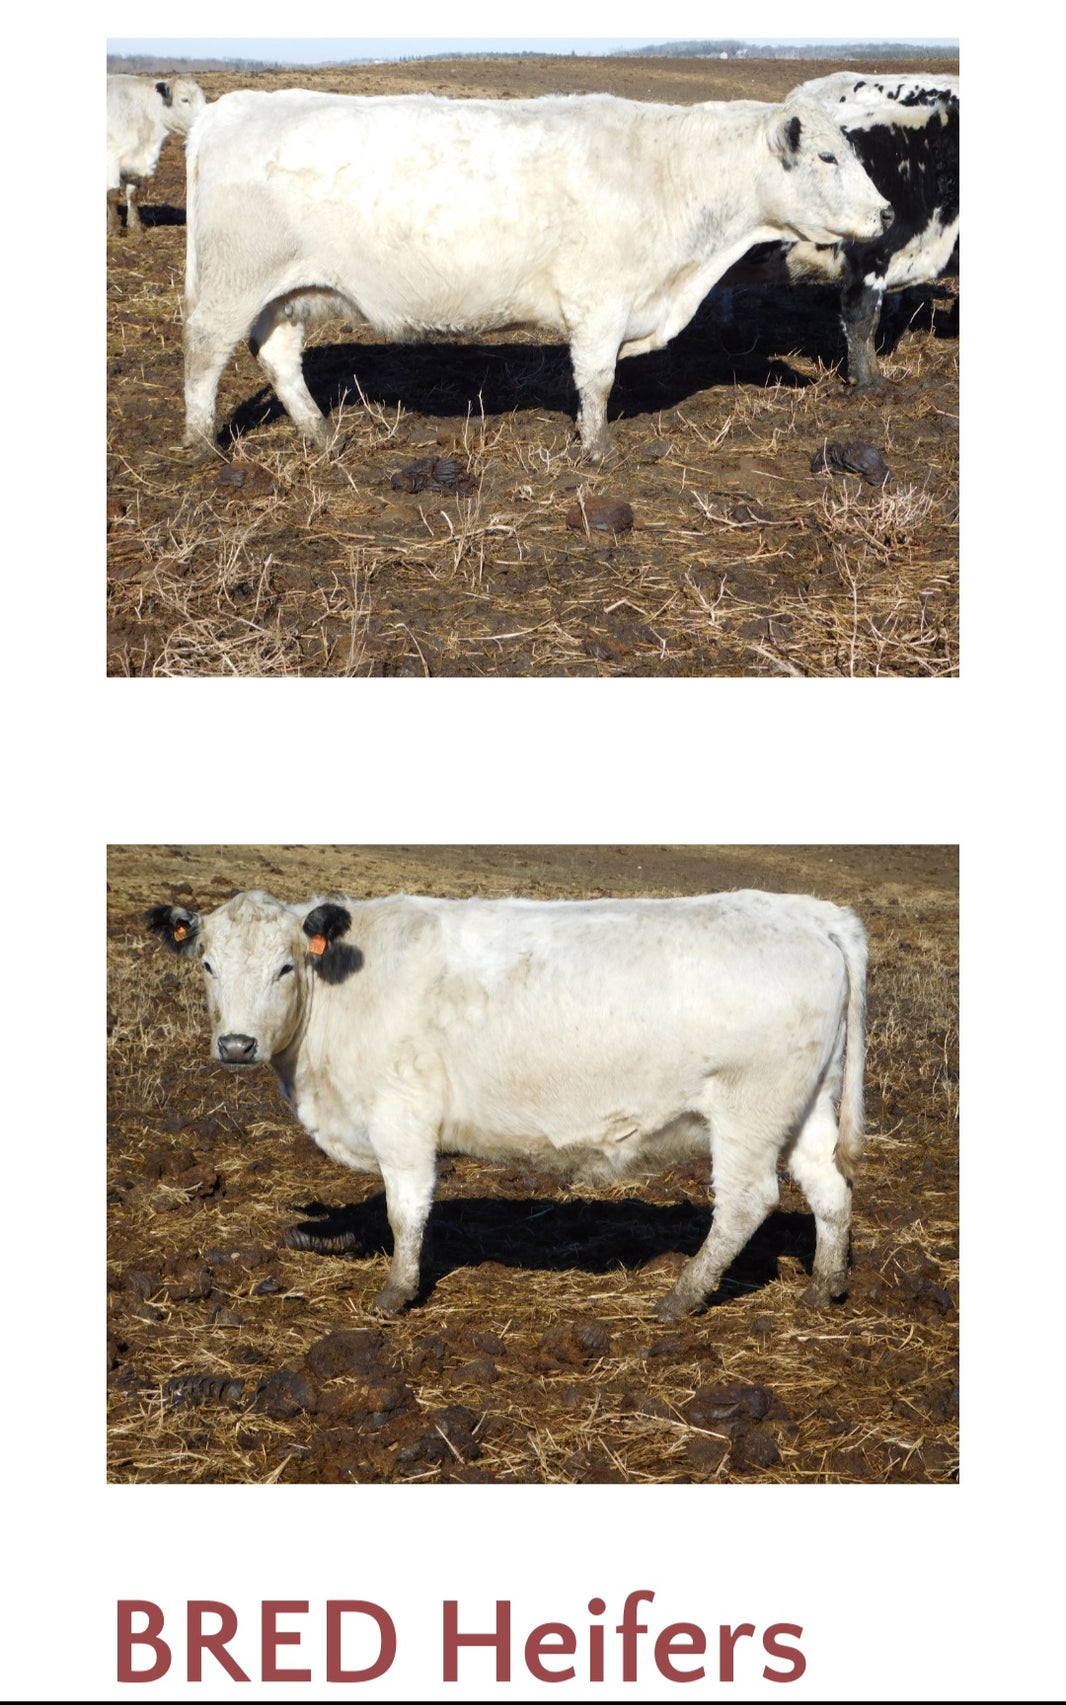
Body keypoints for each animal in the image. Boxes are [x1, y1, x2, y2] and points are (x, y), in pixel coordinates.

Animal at [107, 74, 206, 236]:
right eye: (185, 99)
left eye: (204, 98)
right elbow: (113, 194)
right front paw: (114, 229)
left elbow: (133, 193)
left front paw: (135, 226)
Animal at [146, 887, 868, 1322]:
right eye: (207, 964)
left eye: (285, 966)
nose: (236, 1044)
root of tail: (808, 912)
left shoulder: (401, 1115)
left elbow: (406, 1209)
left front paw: (395, 1293)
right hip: (806, 1104)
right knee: (830, 1187)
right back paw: (824, 1286)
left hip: (749, 1107)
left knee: (748, 1201)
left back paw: (682, 1296)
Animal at [181, 88, 892, 457]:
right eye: (827, 157)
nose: (887, 212)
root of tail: (230, 106)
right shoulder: (600, 302)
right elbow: (597, 380)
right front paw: (597, 451)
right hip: (232, 282)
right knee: (204, 353)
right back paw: (202, 443)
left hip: (287, 292)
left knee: (278, 356)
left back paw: (320, 433)